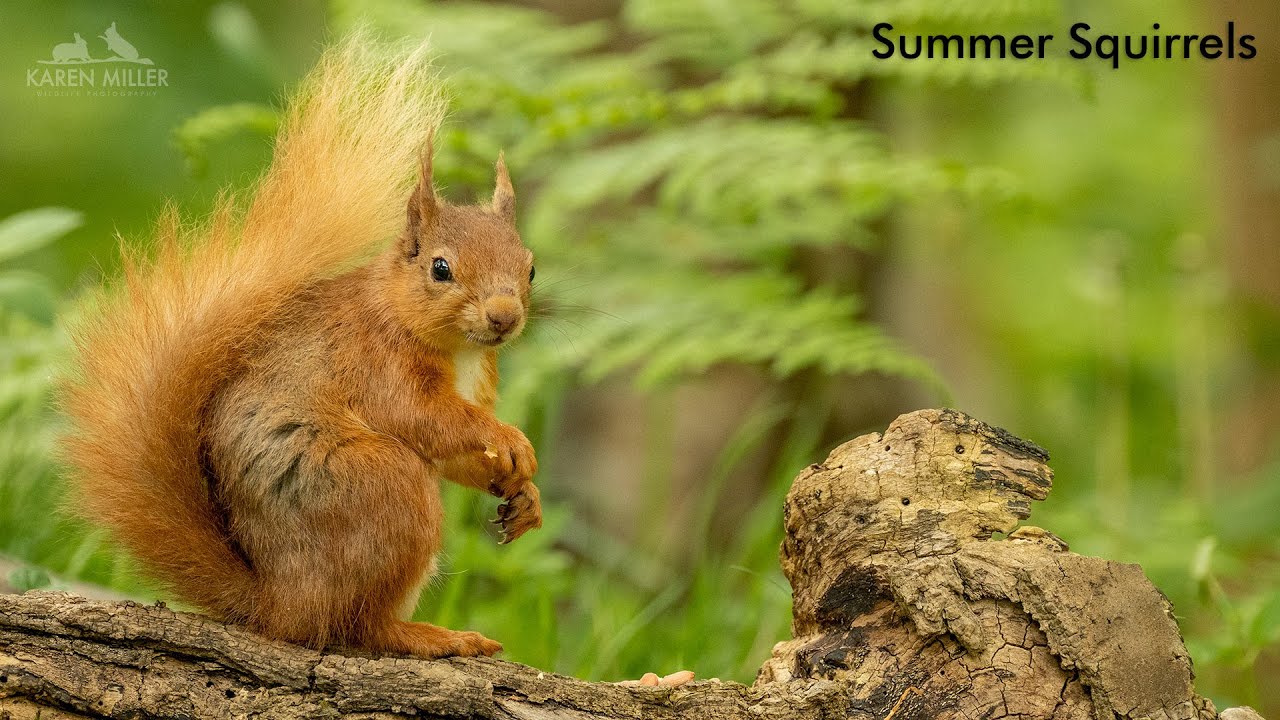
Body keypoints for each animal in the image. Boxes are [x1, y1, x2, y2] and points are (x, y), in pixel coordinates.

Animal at [58, 35, 541, 659]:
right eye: (441, 268)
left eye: (531, 268)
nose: (504, 317)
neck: (458, 349)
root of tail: (278, 602)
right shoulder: (379, 362)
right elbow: (425, 418)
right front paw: (511, 441)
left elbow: (456, 452)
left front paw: (522, 492)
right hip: (386, 489)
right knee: (358, 624)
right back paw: (428, 635)